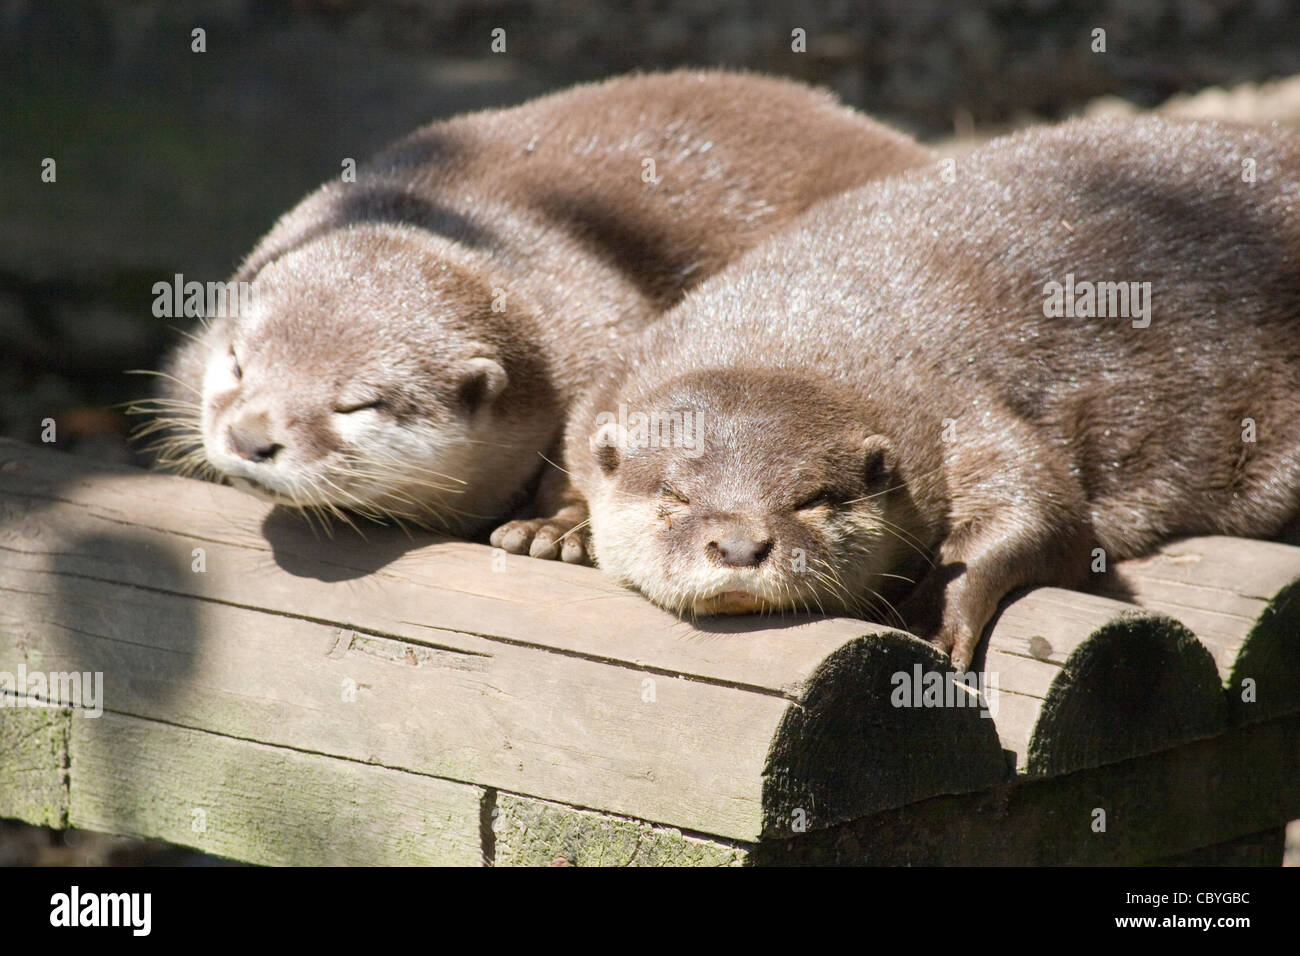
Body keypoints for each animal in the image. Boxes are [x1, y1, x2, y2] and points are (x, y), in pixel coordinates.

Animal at [561, 115, 1300, 671]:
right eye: (674, 497)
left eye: (812, 499)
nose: (741, 546)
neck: (786, 328)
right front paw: (560, 527)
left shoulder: (953, 410)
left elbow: (1046, 507)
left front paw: (932, 609)